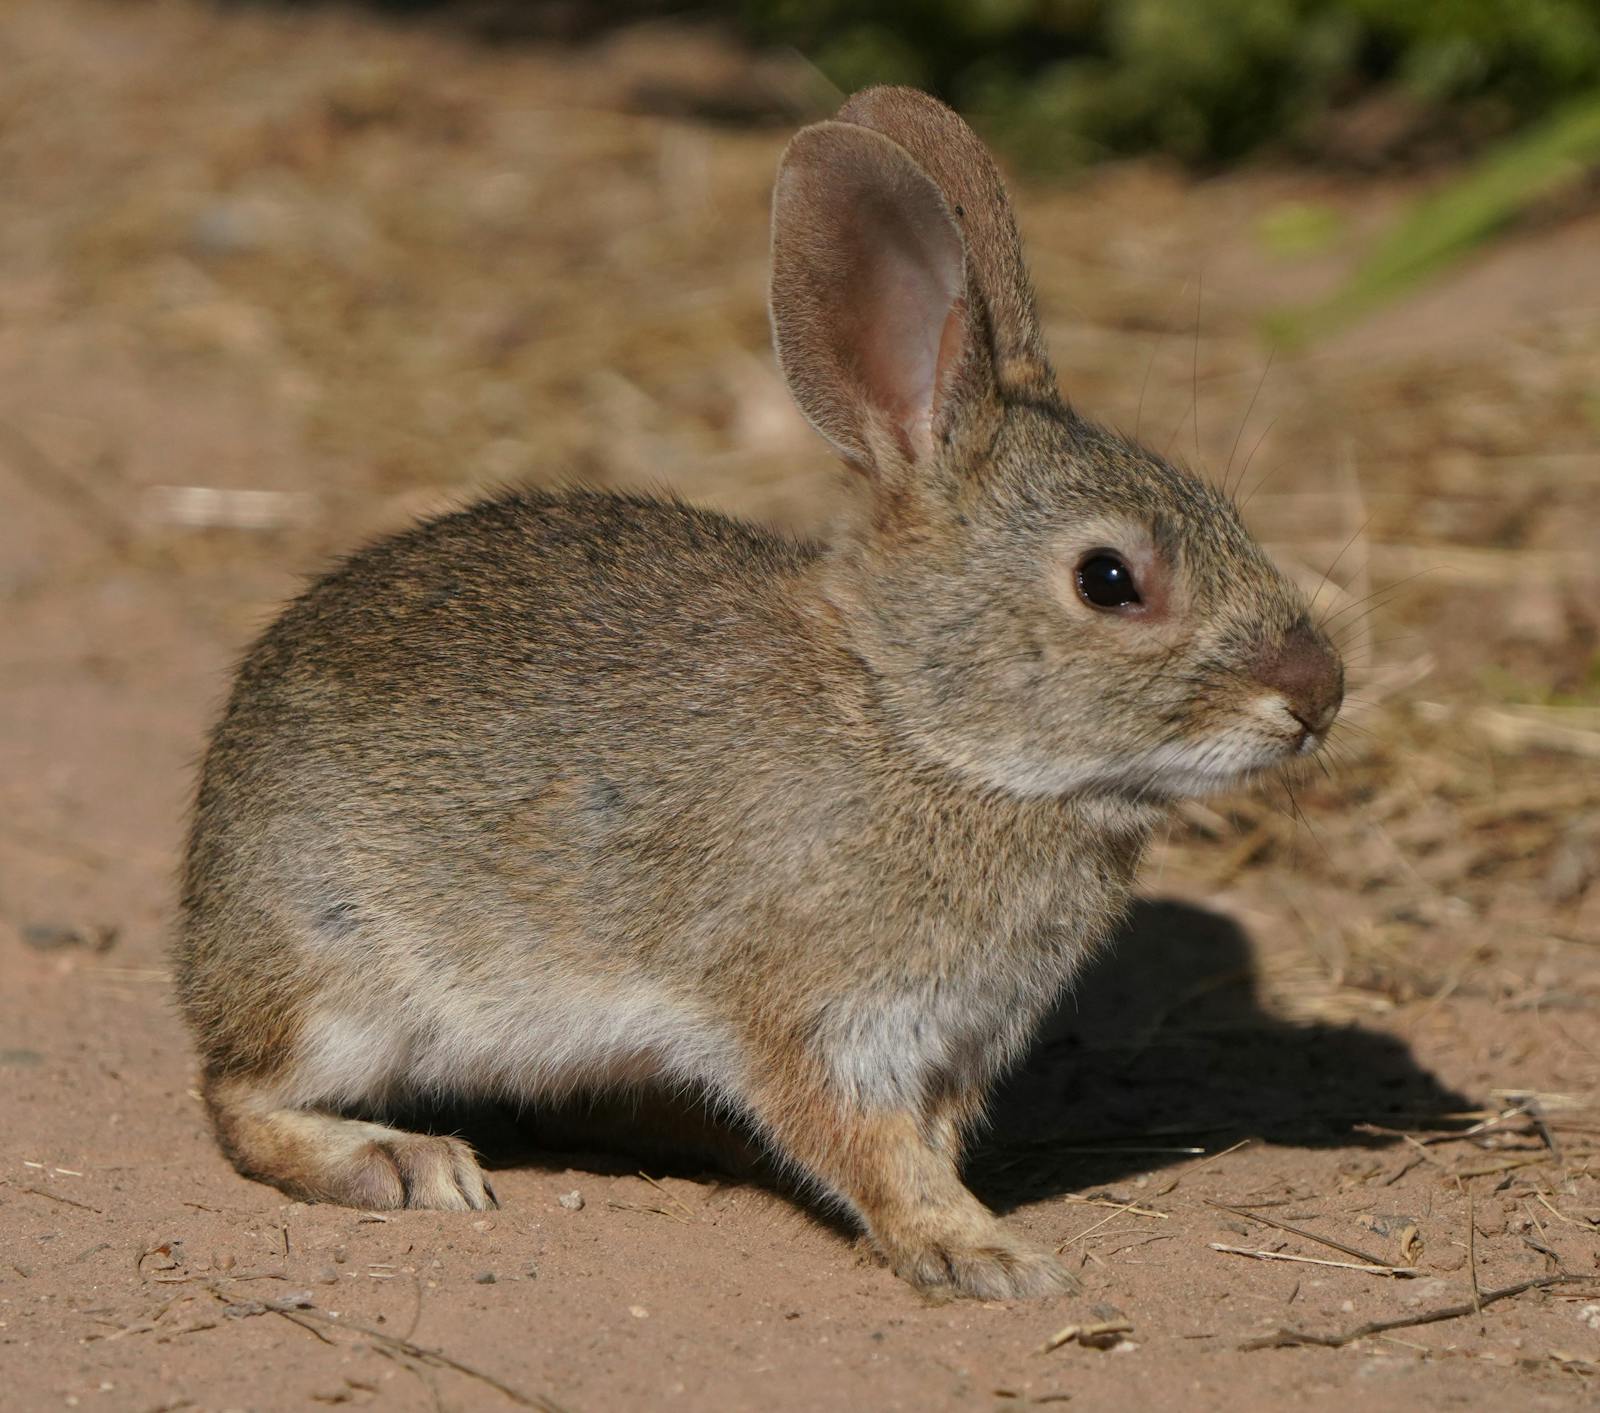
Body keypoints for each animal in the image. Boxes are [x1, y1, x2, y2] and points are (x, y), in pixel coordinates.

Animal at [174, 85, 1342, 1301]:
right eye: (1108, 580)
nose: (1320, 691)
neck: (919, 726)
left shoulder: (948, 1043)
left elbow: (919, 1141)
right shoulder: (822, 1018)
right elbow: (872, 1149)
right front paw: (982, 1254)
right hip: (339, 979)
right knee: (239, 1099)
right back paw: (400, 1162)